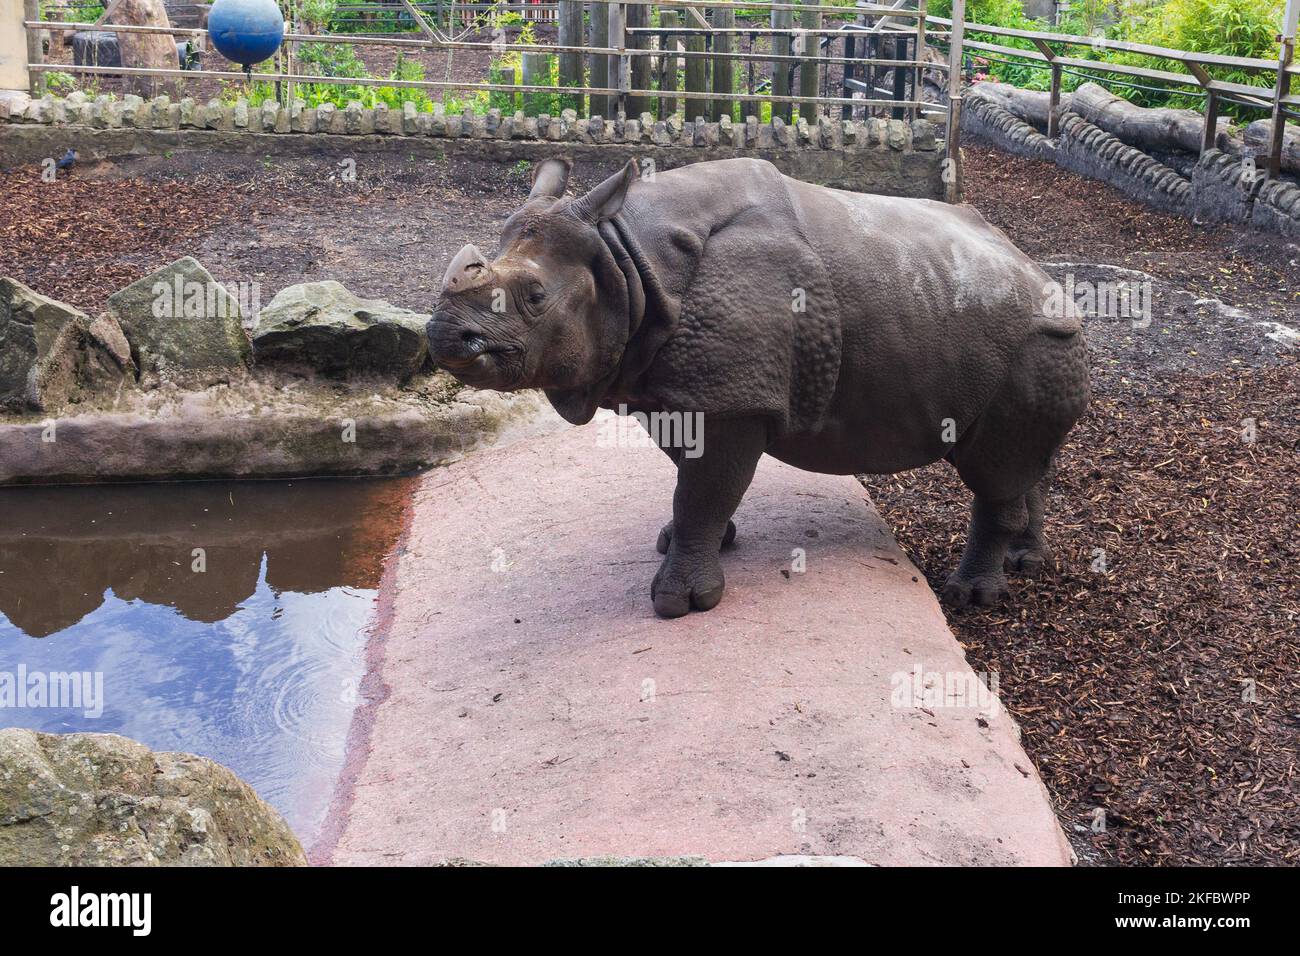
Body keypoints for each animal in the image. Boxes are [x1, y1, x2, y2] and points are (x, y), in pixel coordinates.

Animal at [427, 157, 1089, 618]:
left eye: (536, 297)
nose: (442, 334)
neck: (626, 258)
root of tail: (1048, 279)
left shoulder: (729, 398)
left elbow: (703, 489)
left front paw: (680, 604)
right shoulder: (674, 384)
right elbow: (694, 483)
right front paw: (690, 543)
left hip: (1035, 341)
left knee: (995, 466)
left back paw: (972, 598)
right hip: (1012, 327)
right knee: (1021, 459)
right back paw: (1026, 562)